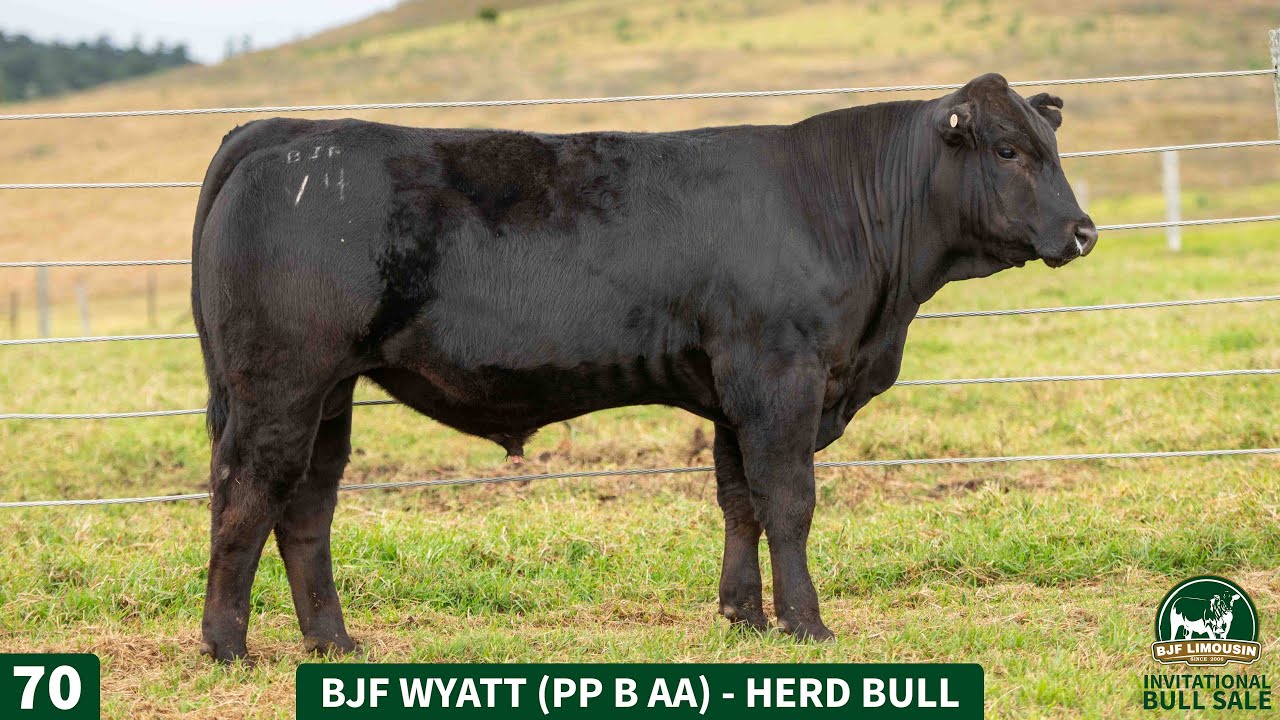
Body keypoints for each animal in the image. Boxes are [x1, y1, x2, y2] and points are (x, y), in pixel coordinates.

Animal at [191, 72, 1096, 662]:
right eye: (1008, 150)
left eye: (1052, 144)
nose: (1084, 231)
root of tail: (286, 130)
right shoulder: (780, 375)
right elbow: (789, 501)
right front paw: (807, 624)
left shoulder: (733, 390)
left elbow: (740, 502)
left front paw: (743, 617)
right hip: (279, 383)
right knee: (246, 494)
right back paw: (228, 644)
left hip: (329, 393)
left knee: (306, 507)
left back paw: (334, 641)